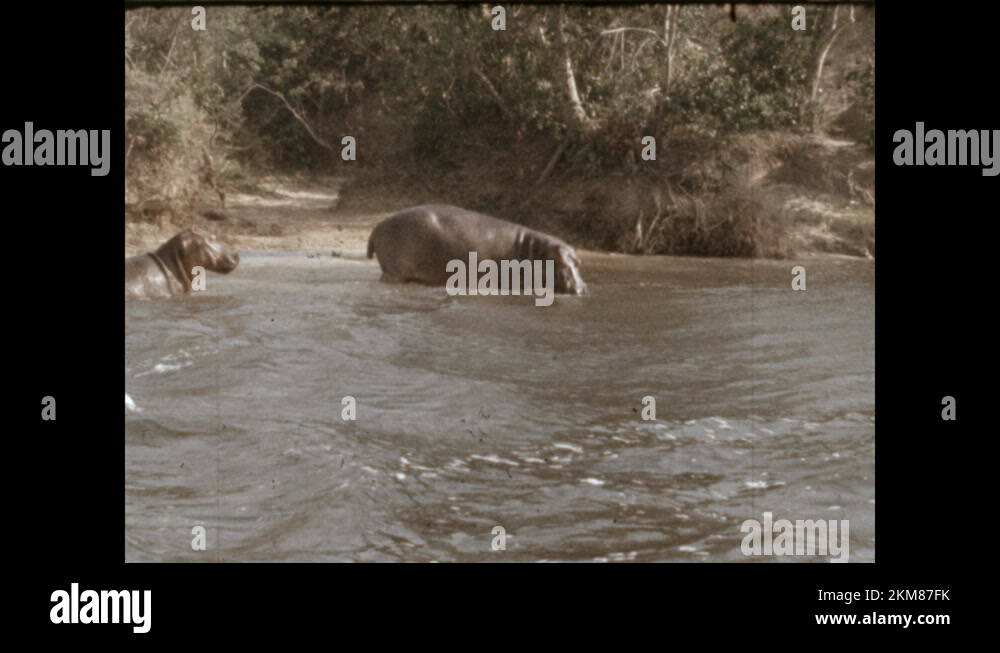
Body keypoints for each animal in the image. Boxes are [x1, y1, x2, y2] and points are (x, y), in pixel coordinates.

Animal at [366, 205, 586, 295]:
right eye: (561, 261)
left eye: (578, 262)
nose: (583, 288)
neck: (533, 251)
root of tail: (378, 225)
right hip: (394, 272)